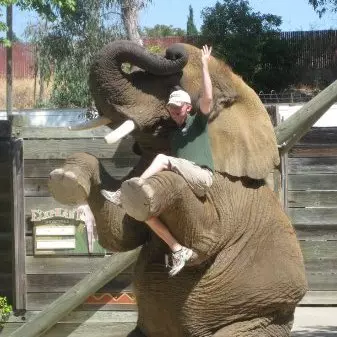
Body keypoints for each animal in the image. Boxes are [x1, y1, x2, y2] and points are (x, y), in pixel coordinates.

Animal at [48, 41, 308, 336]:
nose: (173, 51)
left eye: (173, 84)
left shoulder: (225, 187)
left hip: (261, 319)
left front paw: (143, 193)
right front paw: (66, 178)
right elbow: (120, 233)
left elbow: (204, 239)